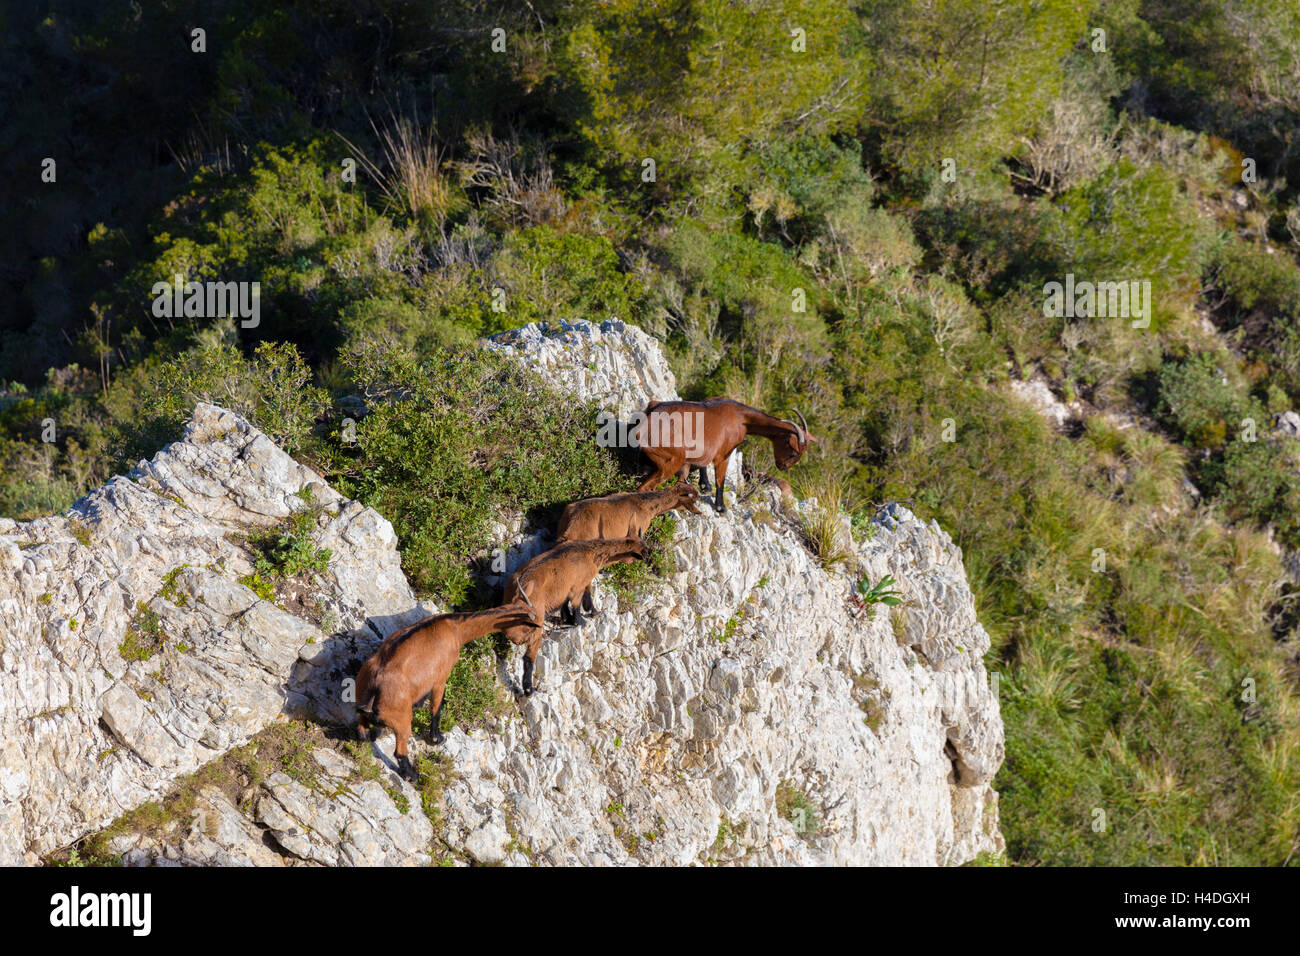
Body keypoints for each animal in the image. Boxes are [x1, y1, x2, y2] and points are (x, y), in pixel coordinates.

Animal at [355, 590, 540, 781]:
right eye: (530, 627)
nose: (526, 643)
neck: (455, 627)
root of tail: (375, 687)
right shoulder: (441, 678)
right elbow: (437, 707)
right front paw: (436, 738)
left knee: (362, 733)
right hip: (401, 719)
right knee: (400, 750)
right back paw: (412, 775)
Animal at [501, 537, 648, 696]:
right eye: (643, 549)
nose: (649, 557)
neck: (589, 552)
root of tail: (518, 593)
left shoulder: (567, 589)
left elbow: (566, 603)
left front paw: (569, 617)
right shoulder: (578, 586)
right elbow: (578, 602)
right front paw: (582, 619)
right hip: (535, 625)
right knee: (529, 657)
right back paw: (529, 689)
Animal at [635, 398, 817, 513]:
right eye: (794, 451)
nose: (783, 466)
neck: (743, 417)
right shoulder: (724, 455)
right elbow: (720, 480)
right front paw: (720, 507)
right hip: (671, 460)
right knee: (644, 489)